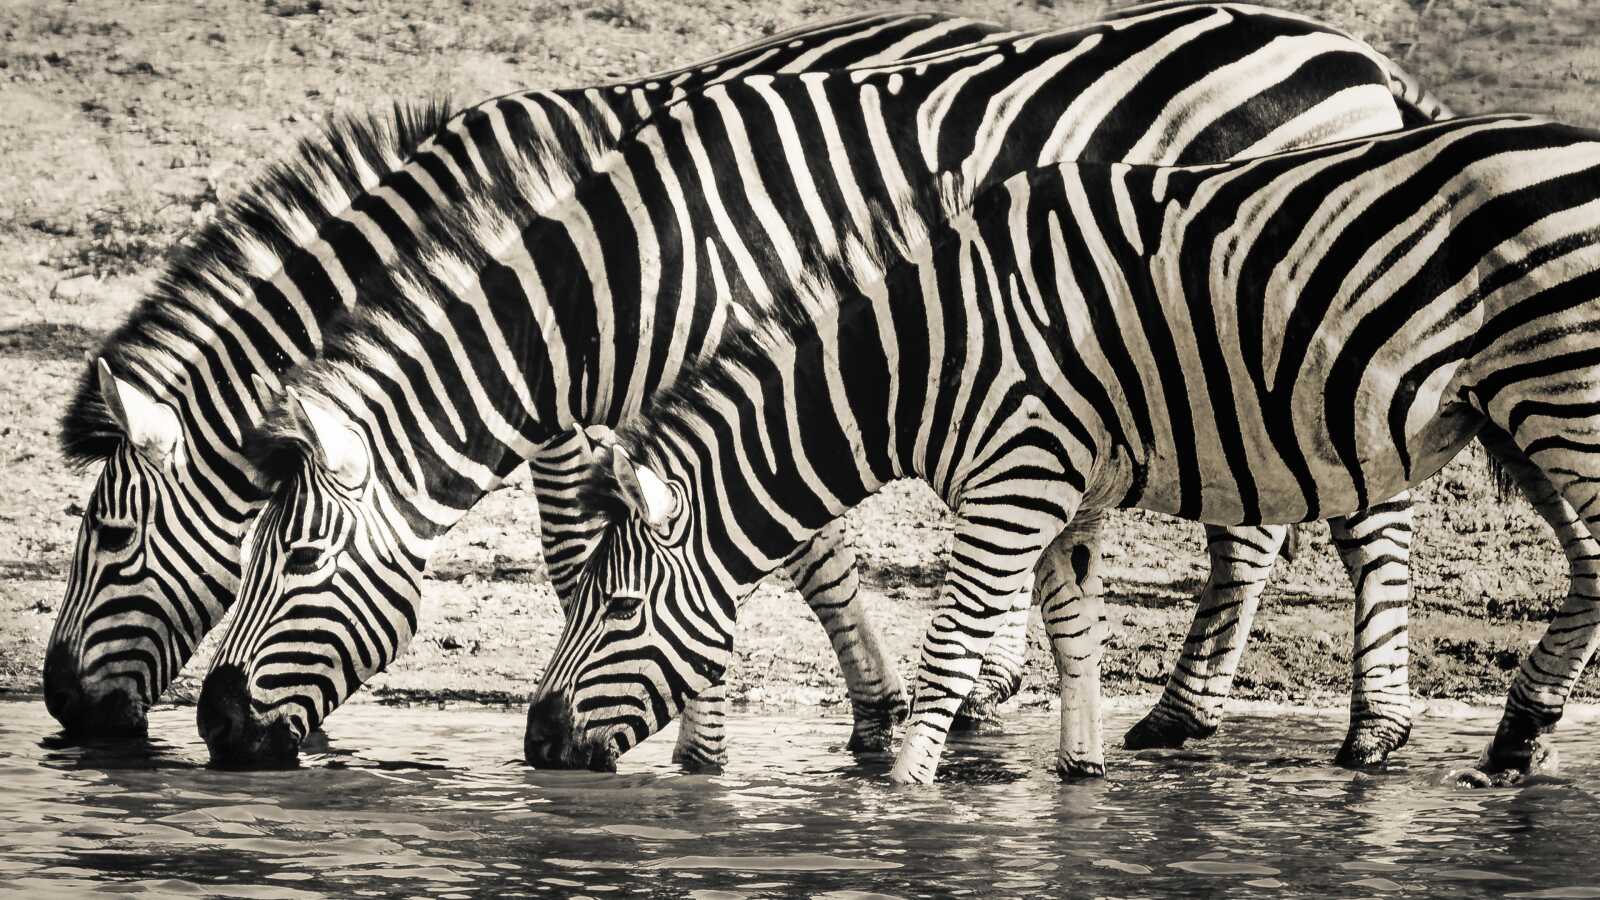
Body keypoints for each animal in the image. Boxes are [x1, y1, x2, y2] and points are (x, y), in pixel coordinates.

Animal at [200, 3, 1464, 767]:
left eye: (292, 560)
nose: (212, 725)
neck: (617, 270)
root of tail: (1367, 65)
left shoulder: (714, 370)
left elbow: (728, 547)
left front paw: (714, 744)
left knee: (1357, 523)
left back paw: (1371, 732)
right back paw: (1176, 714)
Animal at [524, 113, 1600, 785]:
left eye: (617, 609)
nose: (534, 744)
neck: (926, 355)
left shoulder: (1015, 482)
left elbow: (950, 648)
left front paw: (895, 796)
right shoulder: (1057, 491)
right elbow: (1076, 635)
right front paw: (1080, 778)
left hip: (1564, 398)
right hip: (1521, 414)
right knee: (1588, 565)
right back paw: (1518, 735)